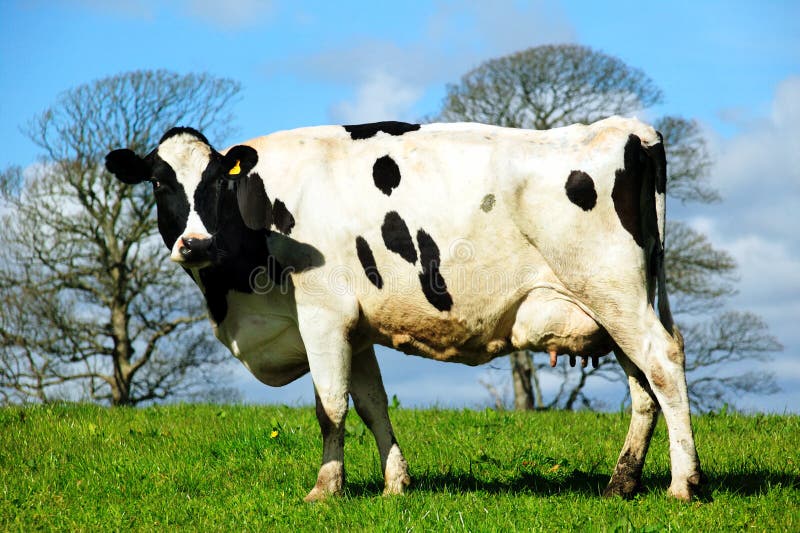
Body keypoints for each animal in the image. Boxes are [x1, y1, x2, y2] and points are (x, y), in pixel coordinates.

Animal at [105, 117, 703, 502]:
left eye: (215, 184)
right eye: (159, 182)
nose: (195, 244)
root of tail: (628, 128)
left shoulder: (322, 313)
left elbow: (330, 406)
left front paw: (326, 488)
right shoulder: (357, 327)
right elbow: (372, 405)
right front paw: (396, 484)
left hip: (614, 291)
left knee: (663, 363)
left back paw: (684, 484)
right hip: (611, 303)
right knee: (643, 387)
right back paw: (622, 483)